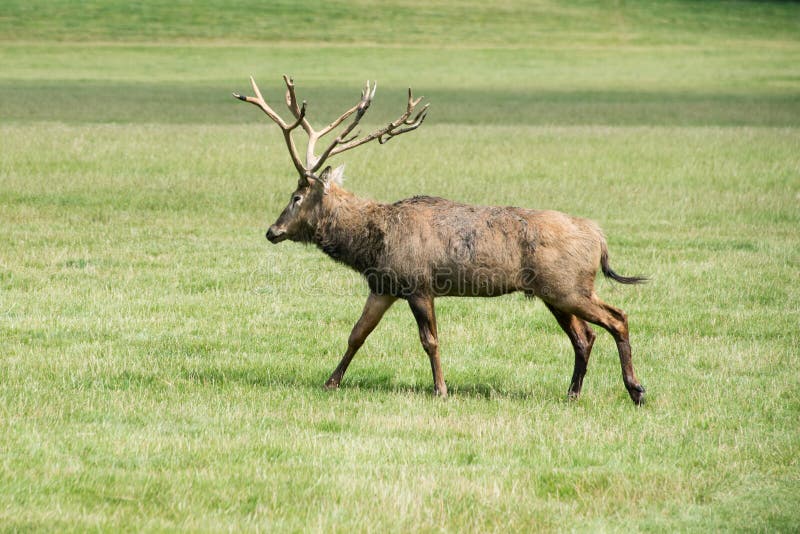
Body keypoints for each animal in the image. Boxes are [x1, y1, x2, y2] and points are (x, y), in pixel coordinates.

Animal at [233, 75, 647, 405]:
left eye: (295, 197)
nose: (273, 231)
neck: (370, 245)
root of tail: (600, 238)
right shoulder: (384, 286)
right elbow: (356, 334)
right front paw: (330, 382)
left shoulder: (419, 283)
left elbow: (430, 340)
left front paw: (441, 389)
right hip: (556, 293)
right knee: (585, 337)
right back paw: (573, 393)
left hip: (567, 286)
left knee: (617, 318)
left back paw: (636, 390)